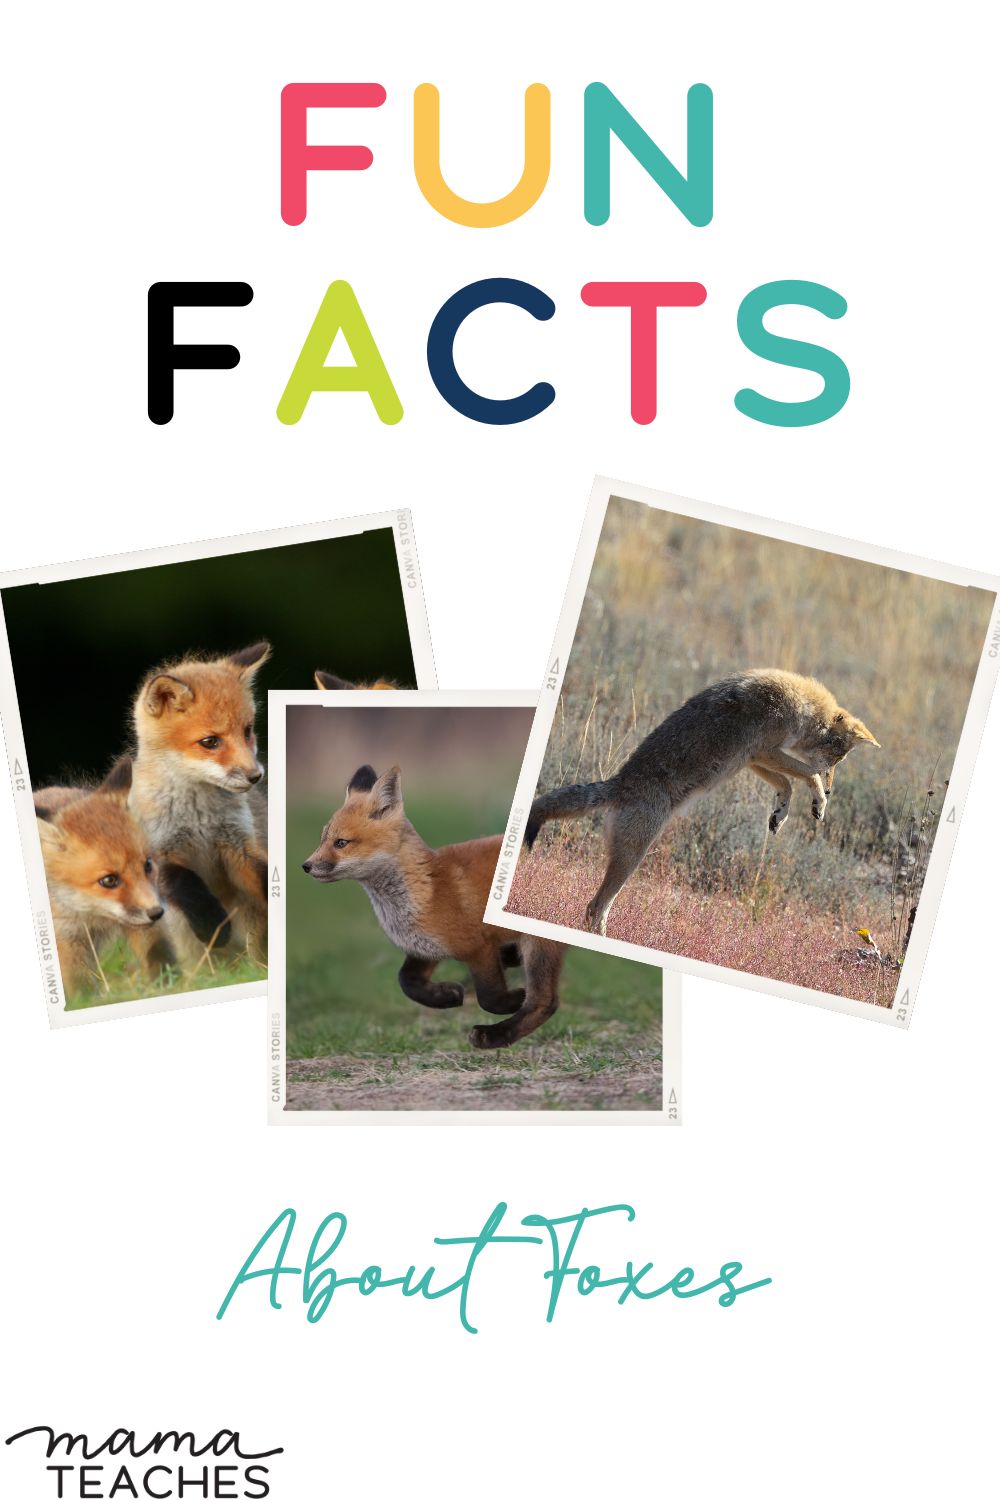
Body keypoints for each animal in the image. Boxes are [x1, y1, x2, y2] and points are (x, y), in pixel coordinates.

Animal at [33, 776, 177, 995]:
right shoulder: (66, 937)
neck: (94, 917)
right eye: (109, 880)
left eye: (148, 865)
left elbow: (161, 958)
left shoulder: (143, 923)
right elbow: (80, 990)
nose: (156, 912)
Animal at [122, 642, 271, 962]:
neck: (199, 816)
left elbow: (262, 873)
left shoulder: (238, 845)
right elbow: (185, 884)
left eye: (247, 731)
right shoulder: (160, 851)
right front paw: (212, 925)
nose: (255, 776)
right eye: (210, 742)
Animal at [301, 764, 567, 1048]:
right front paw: (447, 995)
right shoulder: (426, 949)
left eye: (341, 843)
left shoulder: (478, 948)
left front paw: (512, 999)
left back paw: (494, 1035)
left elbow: (489, 998)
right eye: (322, 839)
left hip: (538, 943)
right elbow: (406, 981)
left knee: (545, 1002)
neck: (426, 891)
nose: (305, 866)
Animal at [525, 668, 881, 936]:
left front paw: (780, 815)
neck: (802, 707)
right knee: (594, 908)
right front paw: (818, 800)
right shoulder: (764, 750)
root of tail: (618, 784)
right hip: (633, 857)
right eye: (834, 761)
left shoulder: (751, 759)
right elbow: (806, 775)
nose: (833, 792)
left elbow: (787, 784)